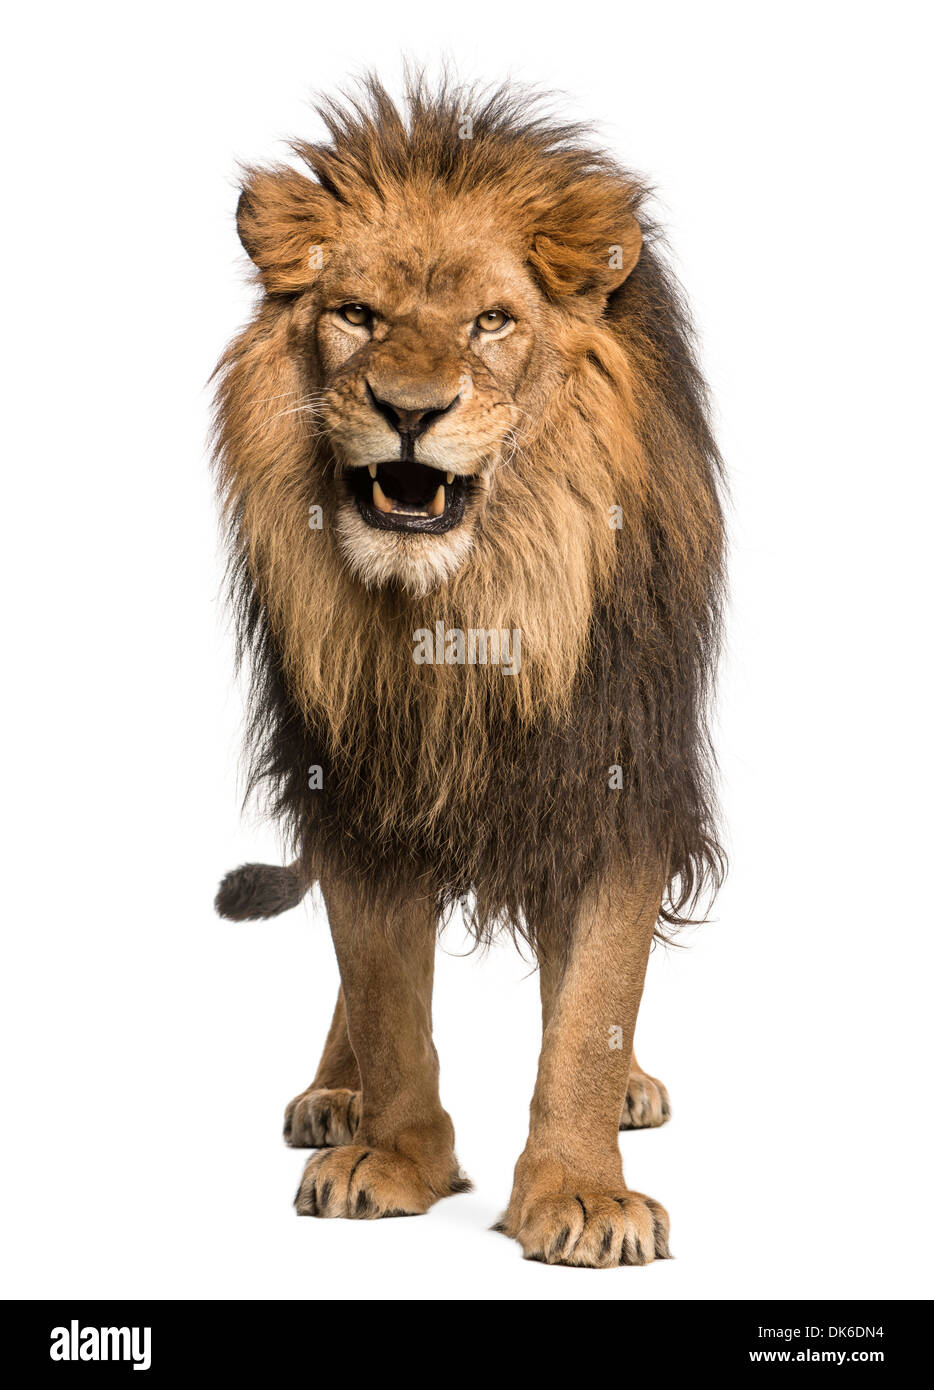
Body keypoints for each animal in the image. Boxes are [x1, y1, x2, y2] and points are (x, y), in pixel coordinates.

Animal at [212, 75, 725, 1267]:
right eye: (357, 315)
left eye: (493, 321)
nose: (409, 412)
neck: (467, 607)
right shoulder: (355, 784)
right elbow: (384, 991)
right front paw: (394, 1159)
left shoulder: (616, 778)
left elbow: (593, 1002)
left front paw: (583, 1190)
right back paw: (335, 1095)